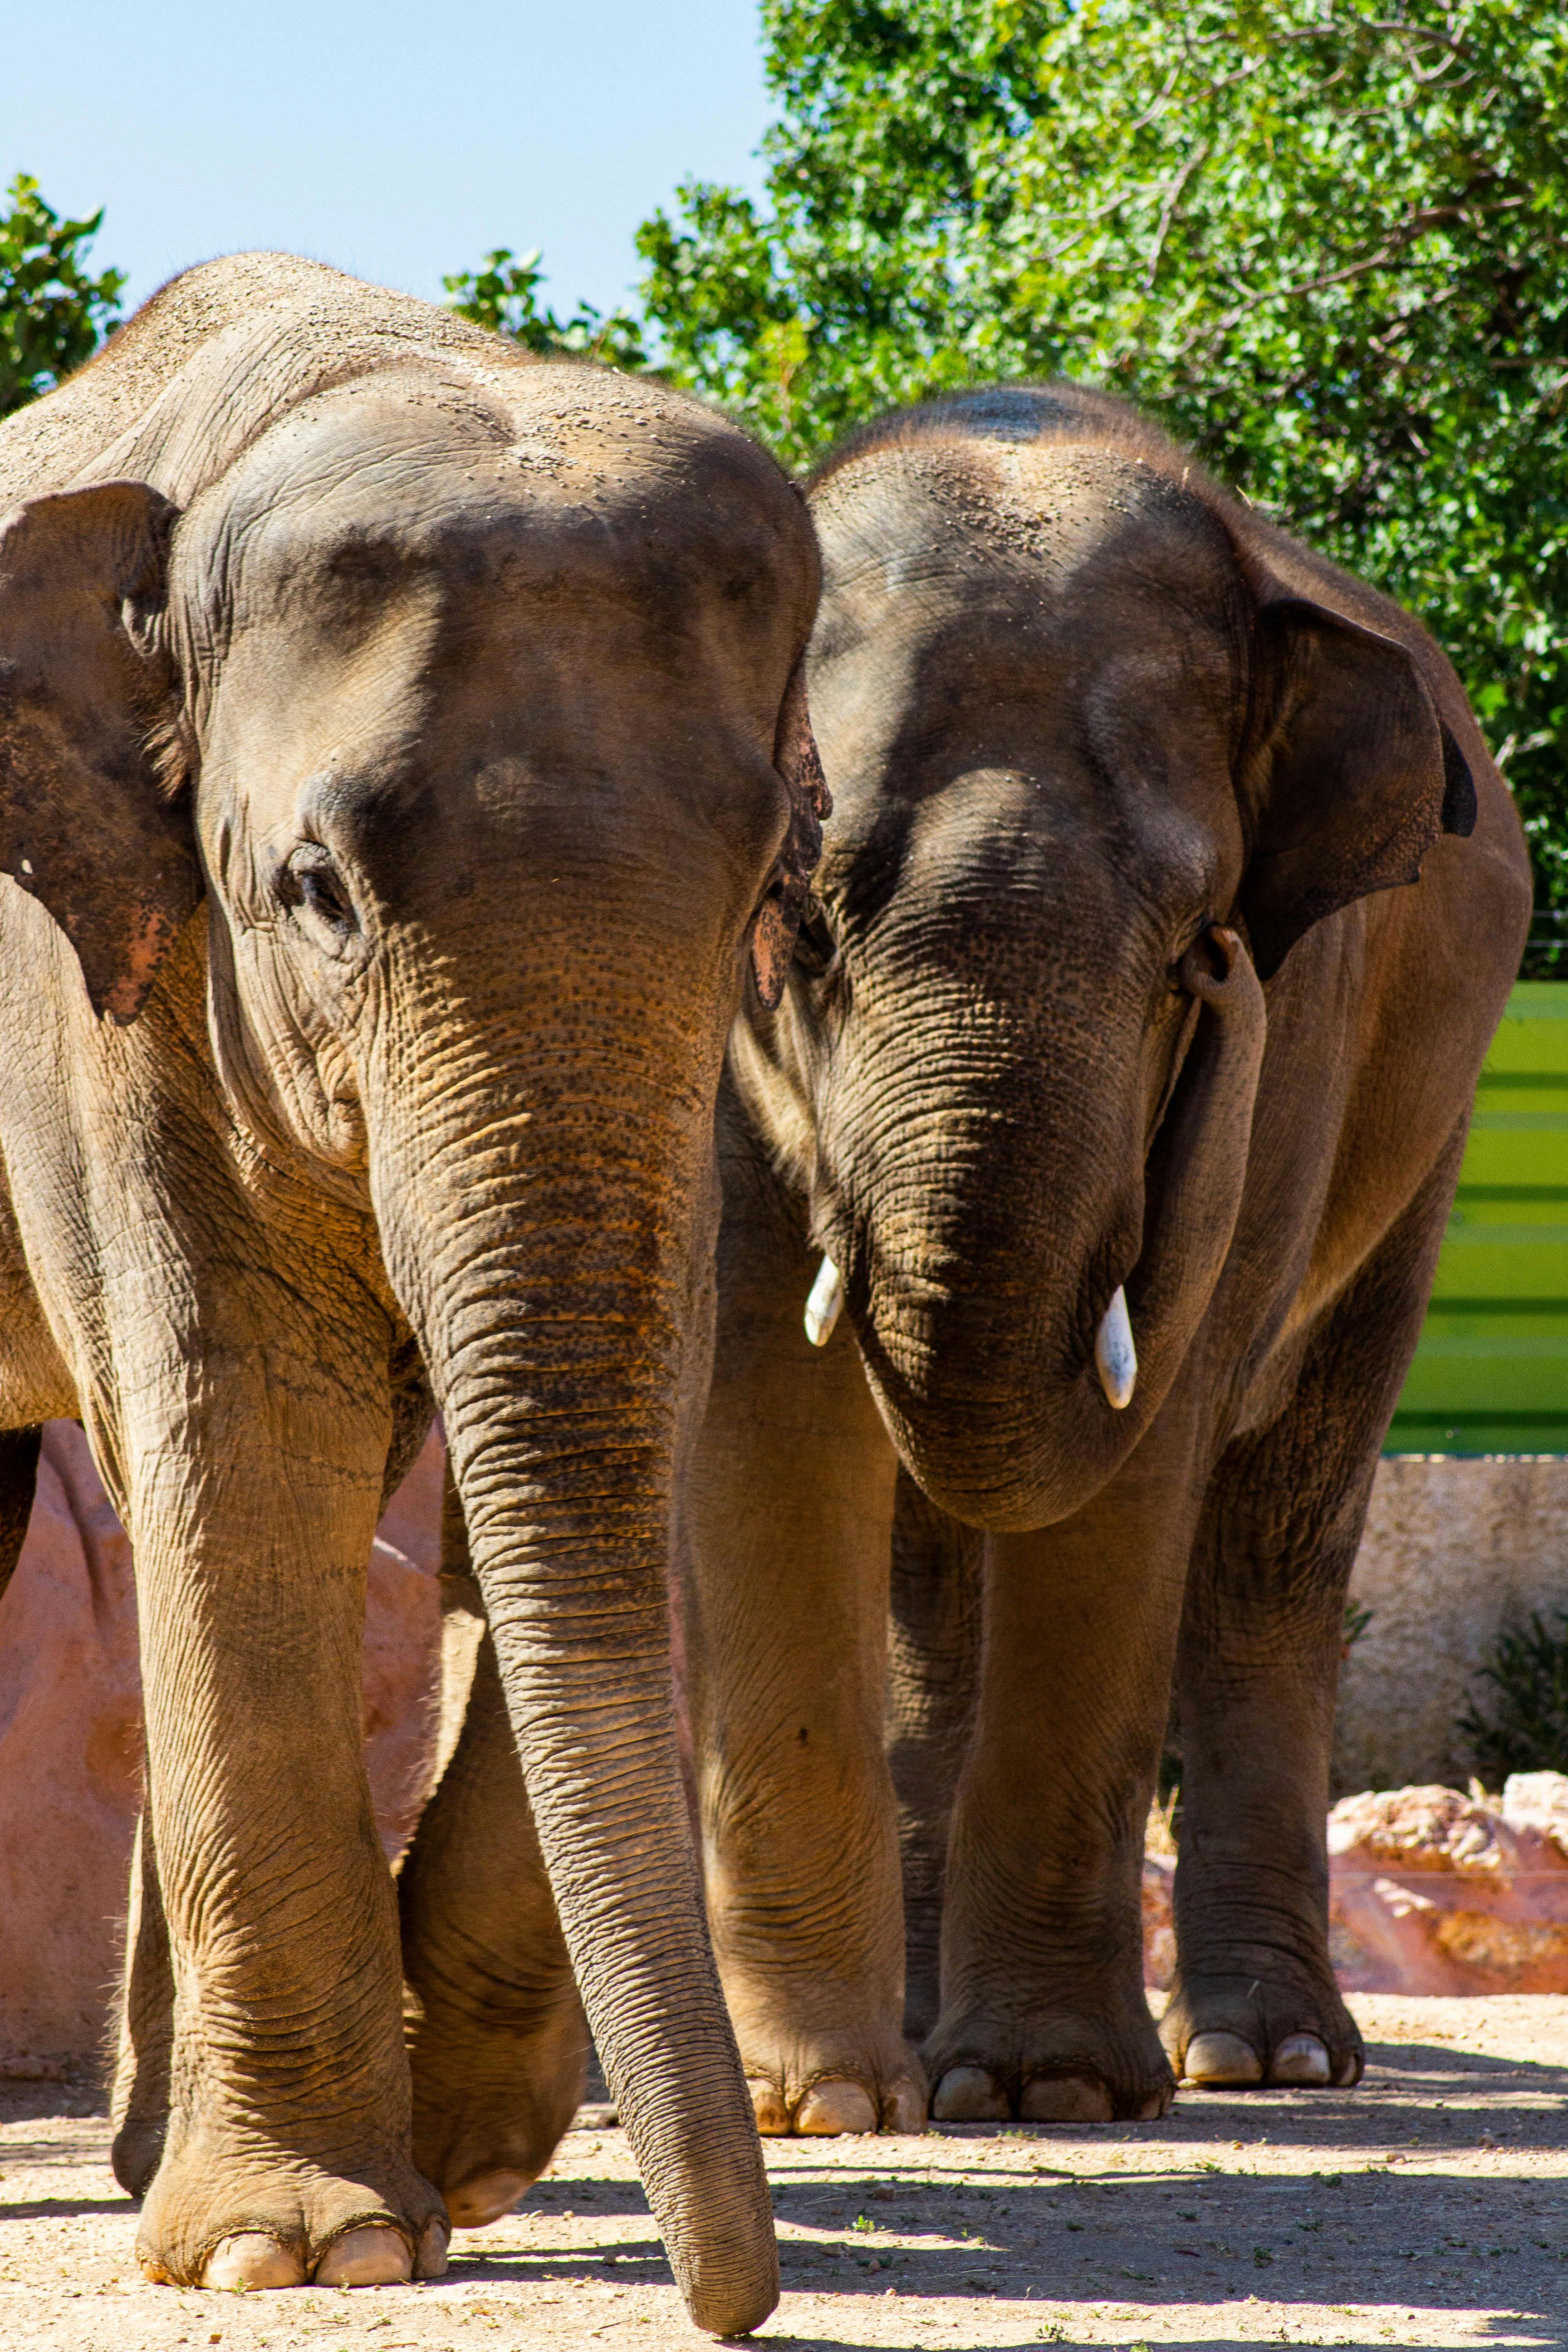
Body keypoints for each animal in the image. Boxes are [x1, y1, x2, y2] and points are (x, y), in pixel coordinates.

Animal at [0, 250, 825, 2322]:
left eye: (771, 879)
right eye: (316, 892)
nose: (737, 2307)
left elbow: (634, 1417)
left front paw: (456, 2169)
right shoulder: (106, 988)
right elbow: (248, 1433)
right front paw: (308, 2254)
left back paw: (151, 2158)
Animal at [660, 382, 1529, 2131]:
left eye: (1198, 938)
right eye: (803, 913)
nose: (1227, 978)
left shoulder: (1303, 1042)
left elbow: (1143, 1457)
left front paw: (1050, 2086)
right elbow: (768, 1406)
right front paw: (820, 2104)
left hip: (1425, 1125)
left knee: (1278, 1520)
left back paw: (1263, 2057)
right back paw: (925, 2046)